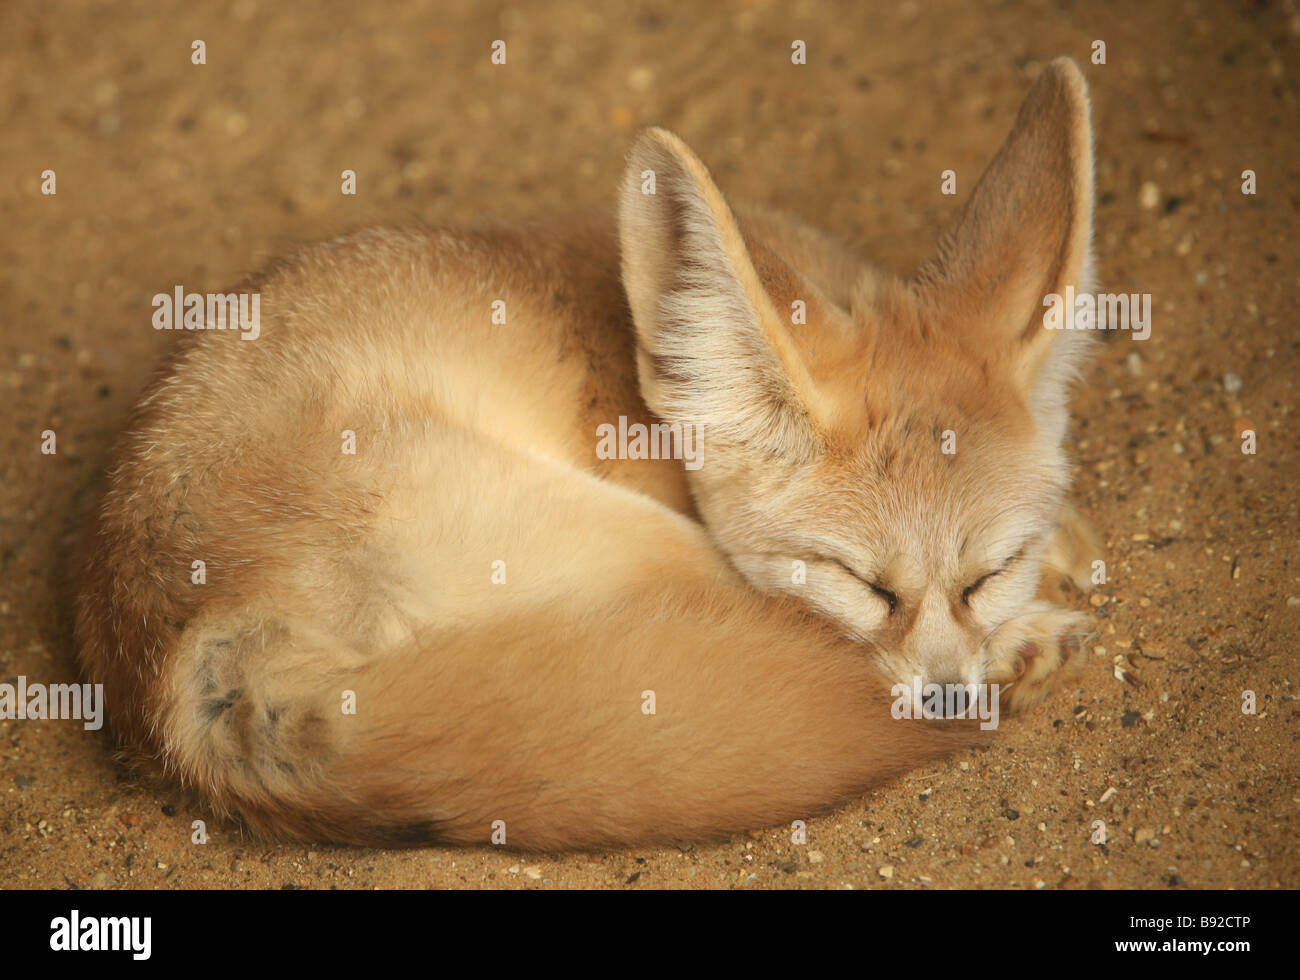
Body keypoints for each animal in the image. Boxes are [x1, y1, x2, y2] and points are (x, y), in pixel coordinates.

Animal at [76, 57, 1098, 850]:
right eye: (864, 584)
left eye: (990, 569)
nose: (951, 702)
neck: (662, 404)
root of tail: (178, 670)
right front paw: (1015, 637)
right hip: (636, 542)